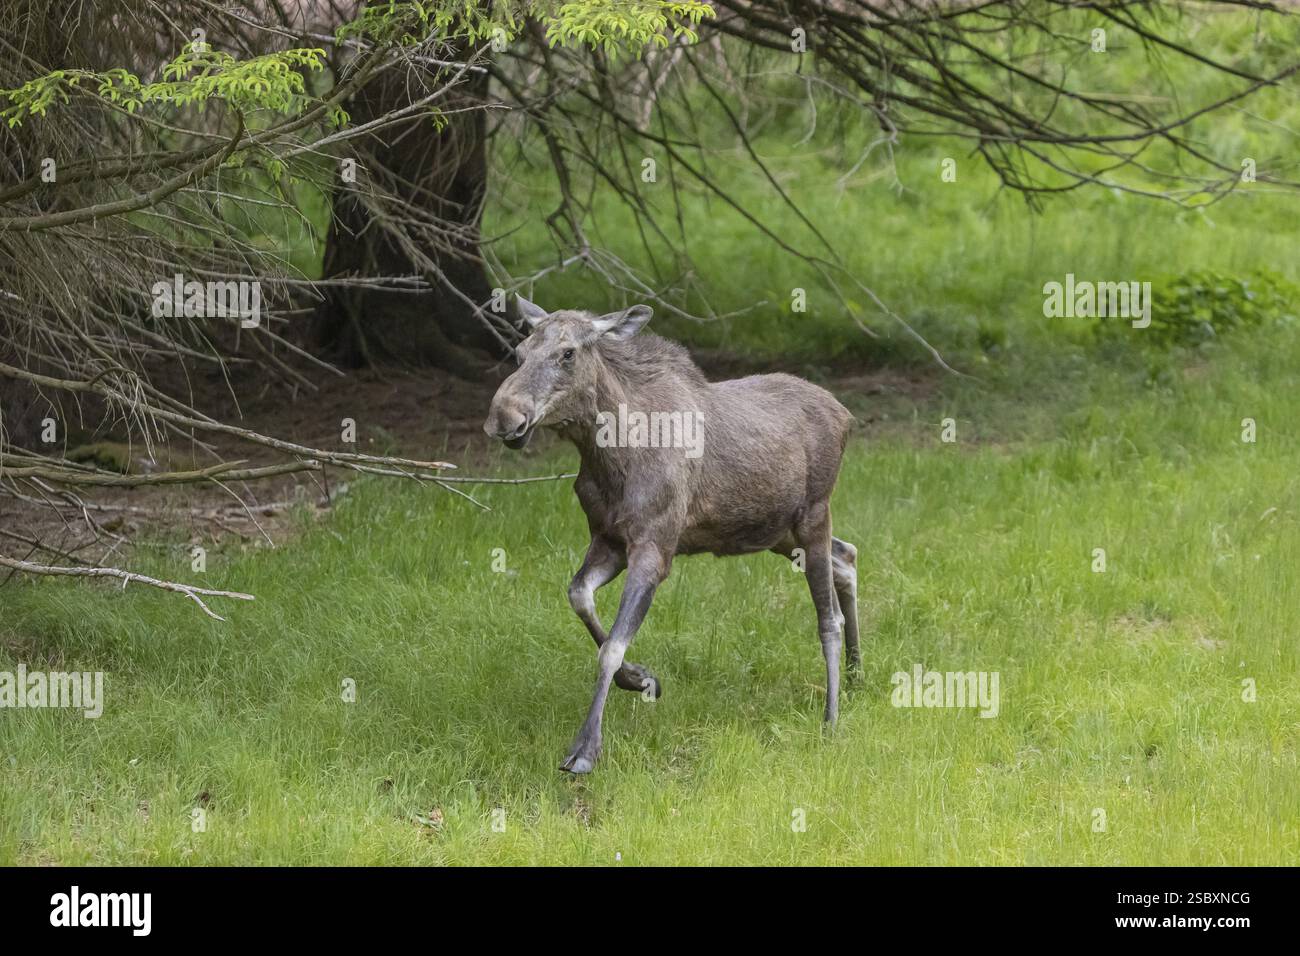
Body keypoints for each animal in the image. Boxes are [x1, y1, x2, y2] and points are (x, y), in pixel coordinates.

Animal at [484, 298, 859, 773]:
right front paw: (641, 678)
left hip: (813, 516)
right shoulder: (607, 539)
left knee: (829, 618)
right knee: (847, 556)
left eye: (568, 353)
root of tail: (847, 416)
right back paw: (857, 675)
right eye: (519, 351)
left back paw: (831, 718)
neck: (609, 455)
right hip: (777, 532)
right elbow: (579, 596)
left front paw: (585, 748)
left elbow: (612, 647)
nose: (504, 418)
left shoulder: (655, 547)